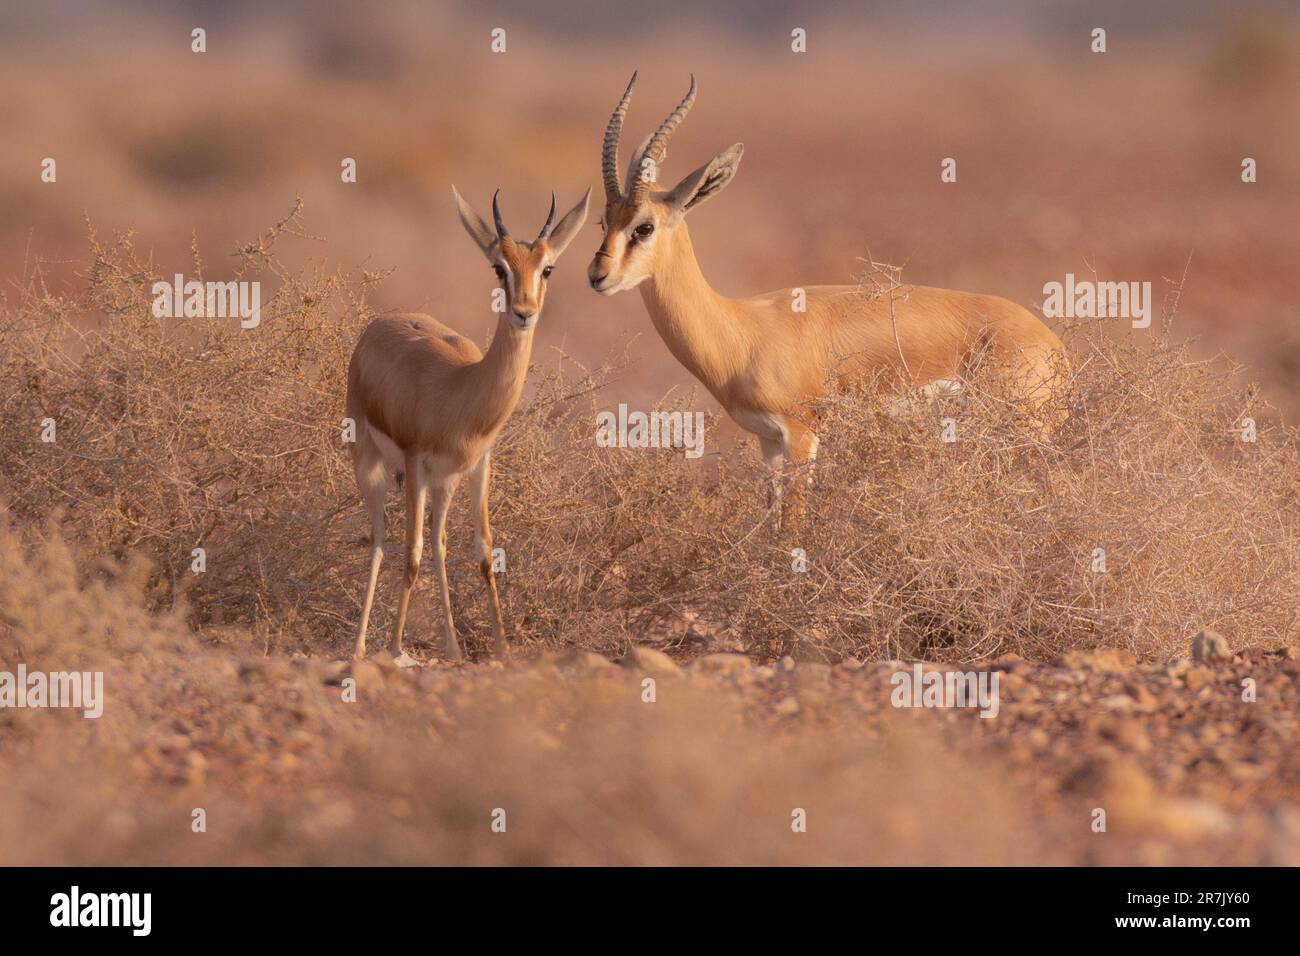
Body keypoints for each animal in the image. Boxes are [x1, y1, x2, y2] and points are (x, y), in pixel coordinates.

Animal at [348, 186, 591, 662]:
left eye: (547, 267)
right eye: (499, 267)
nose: (523, 313)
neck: (460, 388)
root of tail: (377, 325)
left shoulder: (478, 468)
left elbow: (482, 553)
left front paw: (502, 648)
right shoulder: (416, 463)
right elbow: (411, 552)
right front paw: (396, 646)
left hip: (444, 484)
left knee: (439, 543)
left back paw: (453, 646)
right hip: (372, 466)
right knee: (381, 540)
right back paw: (363, 645)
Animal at [588, 74, 1069, 524]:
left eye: (644, 226)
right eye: (603, 222)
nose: (597, 276)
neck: (741, 329)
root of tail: (1057, 348)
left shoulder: (802, 434)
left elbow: (794, 522)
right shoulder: (767, 441)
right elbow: (771, 518)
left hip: (1027, 431)